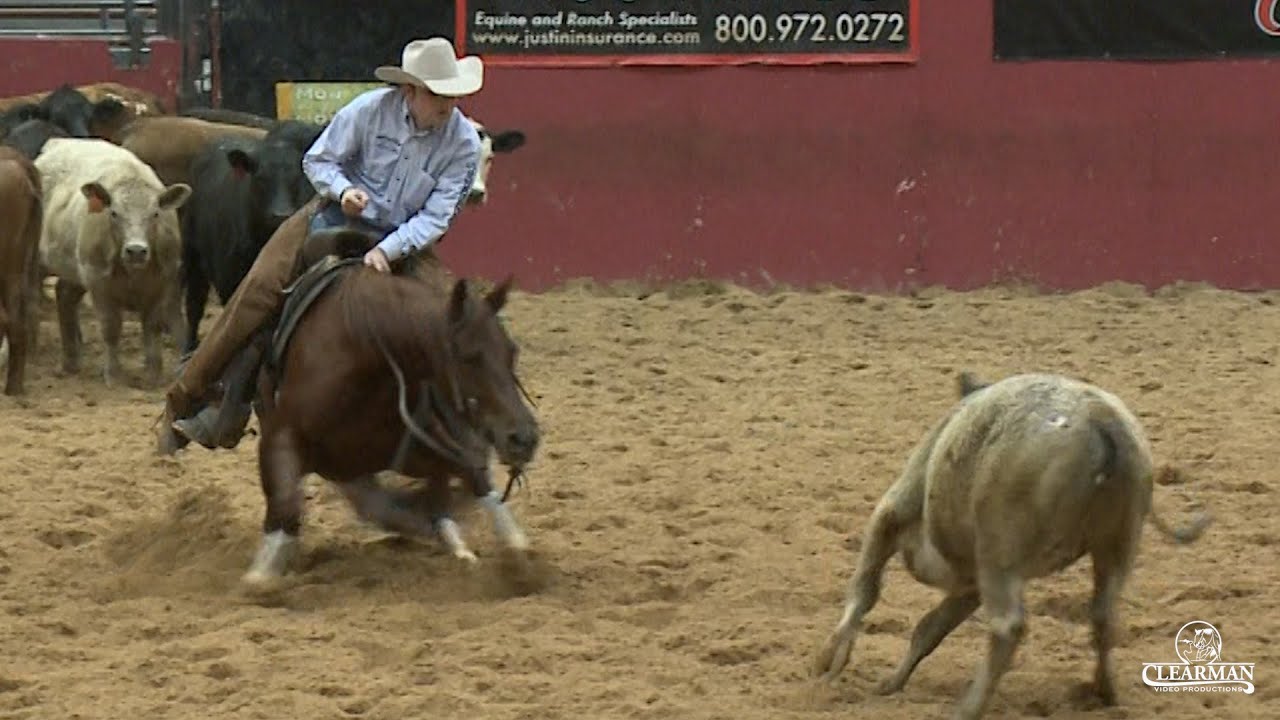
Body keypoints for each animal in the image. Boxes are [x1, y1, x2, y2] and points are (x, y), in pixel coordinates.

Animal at [240, 254, 541, 589]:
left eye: (512, 352)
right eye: (469, 357)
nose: (524, 438)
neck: (363, 352)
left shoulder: (431, 444)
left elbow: (475, 483)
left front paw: (517, 558)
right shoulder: (282, 437)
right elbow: (285, 501)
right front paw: (261, 576)